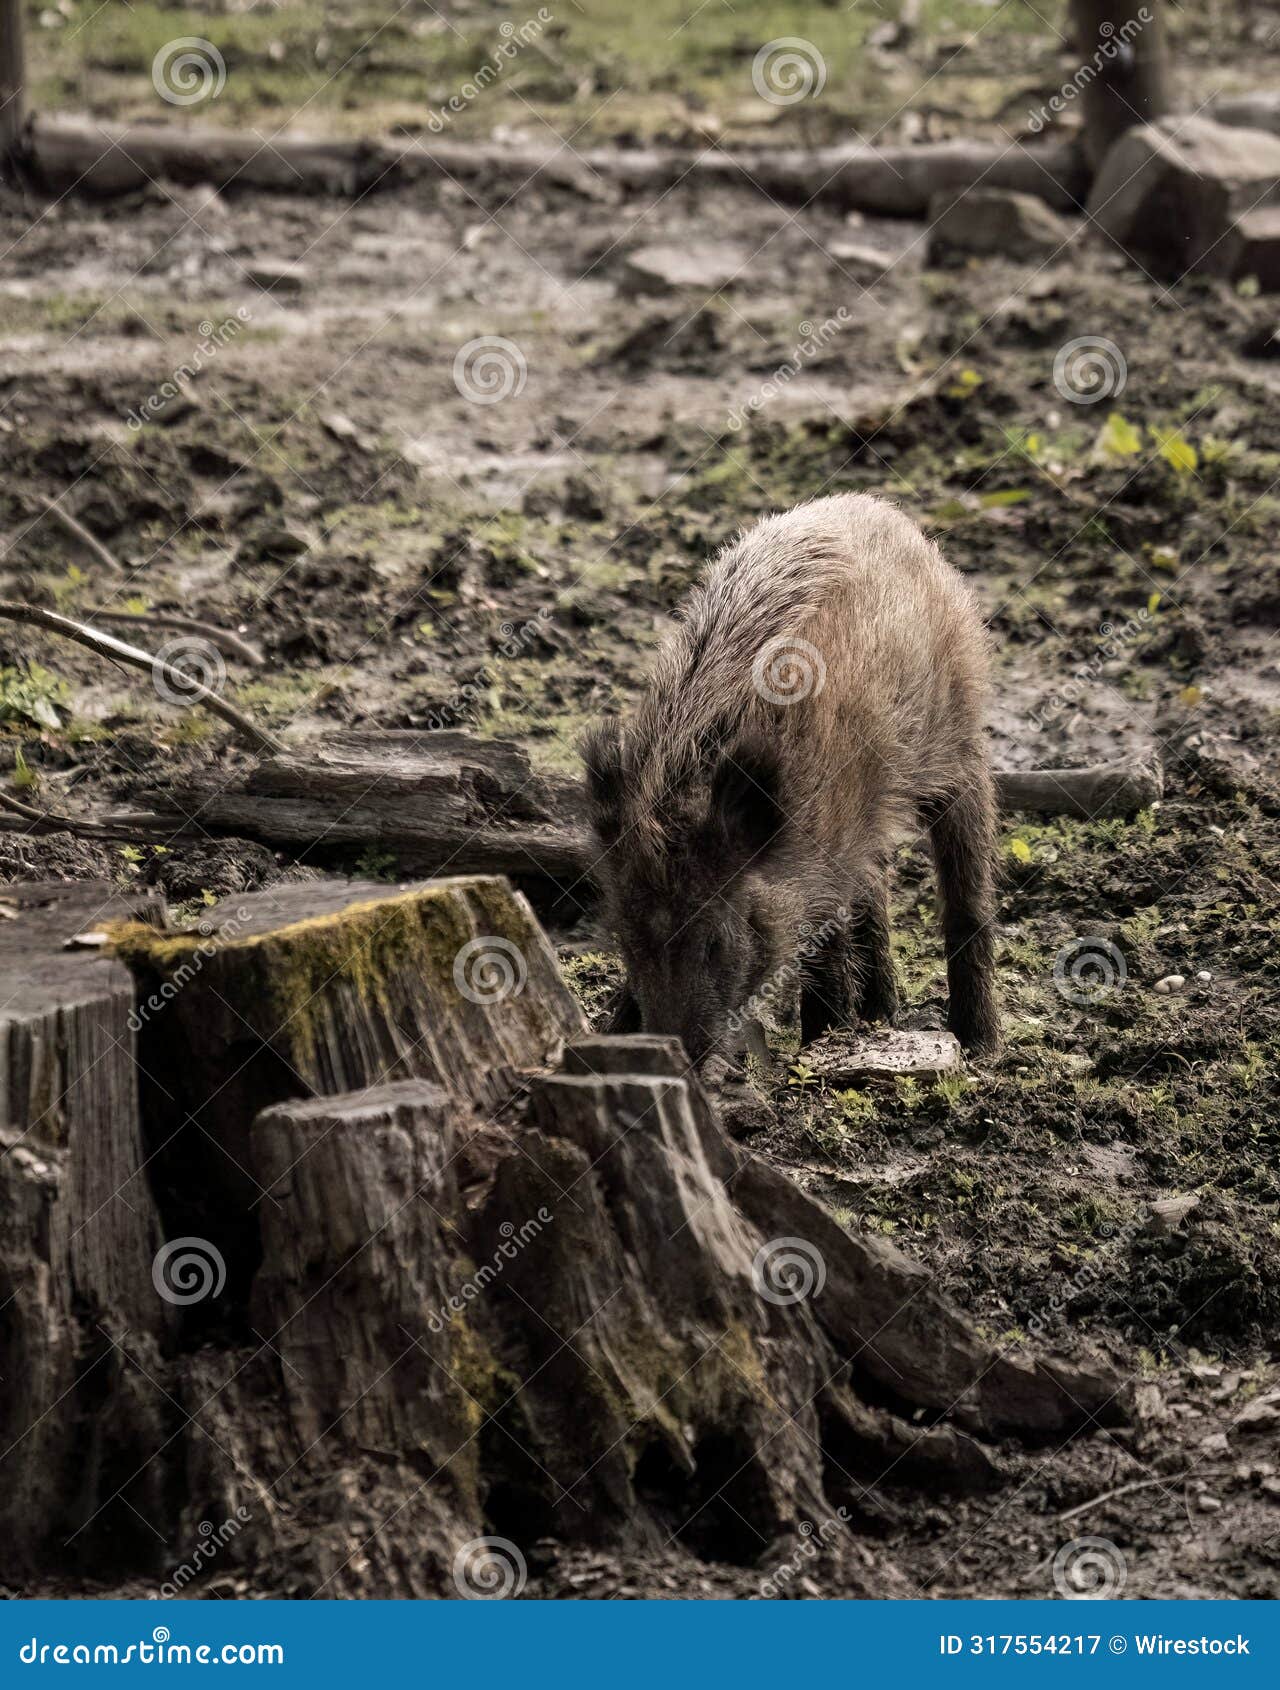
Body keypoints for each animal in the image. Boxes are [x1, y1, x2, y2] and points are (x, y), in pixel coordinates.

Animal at [580, 493, 1001, 1068]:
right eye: (625, 939)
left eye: (715, 942)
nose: (670, 1052)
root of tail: (885, 513)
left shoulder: (826, 845)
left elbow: (824, 938)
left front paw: (823, 1037)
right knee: (875, 886)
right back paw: (881, 1015)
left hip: (960, 743)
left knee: (966, 890)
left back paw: (978, 1043)